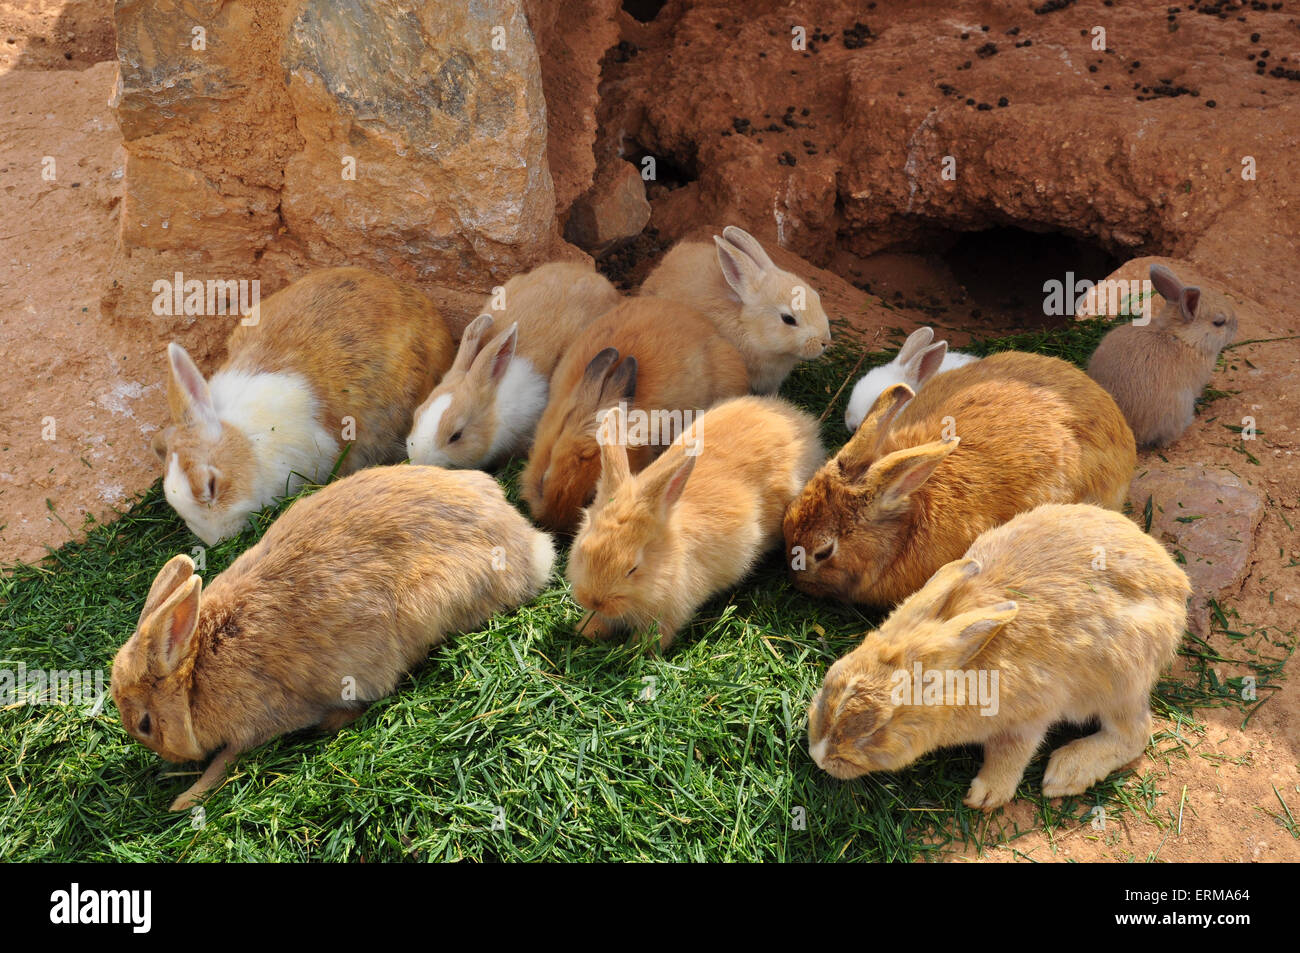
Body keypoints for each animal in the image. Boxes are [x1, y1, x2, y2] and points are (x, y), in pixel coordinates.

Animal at [110, 465, 556, 811]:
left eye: (146, 724)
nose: (167, 757)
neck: (197, 669)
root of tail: (530, 546)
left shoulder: (263, 722)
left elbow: (227, 760)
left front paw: (185, 799)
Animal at [568, 396, 824, 651]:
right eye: (583, 551)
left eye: (632, 569)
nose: (594, 600)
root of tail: (800, 422)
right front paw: (585, 630)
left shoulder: (668, 614)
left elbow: (655, 636)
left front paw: (637, 650)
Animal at [807, 502, 1190, 810]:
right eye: (830, 679)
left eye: (878, 728)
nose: (819, 757)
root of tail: (1177, 585)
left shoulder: (1030, 716)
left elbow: (1011, 752)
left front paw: (985, 796)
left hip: (1118, 680)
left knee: (1135, 733)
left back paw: (1067, 773)